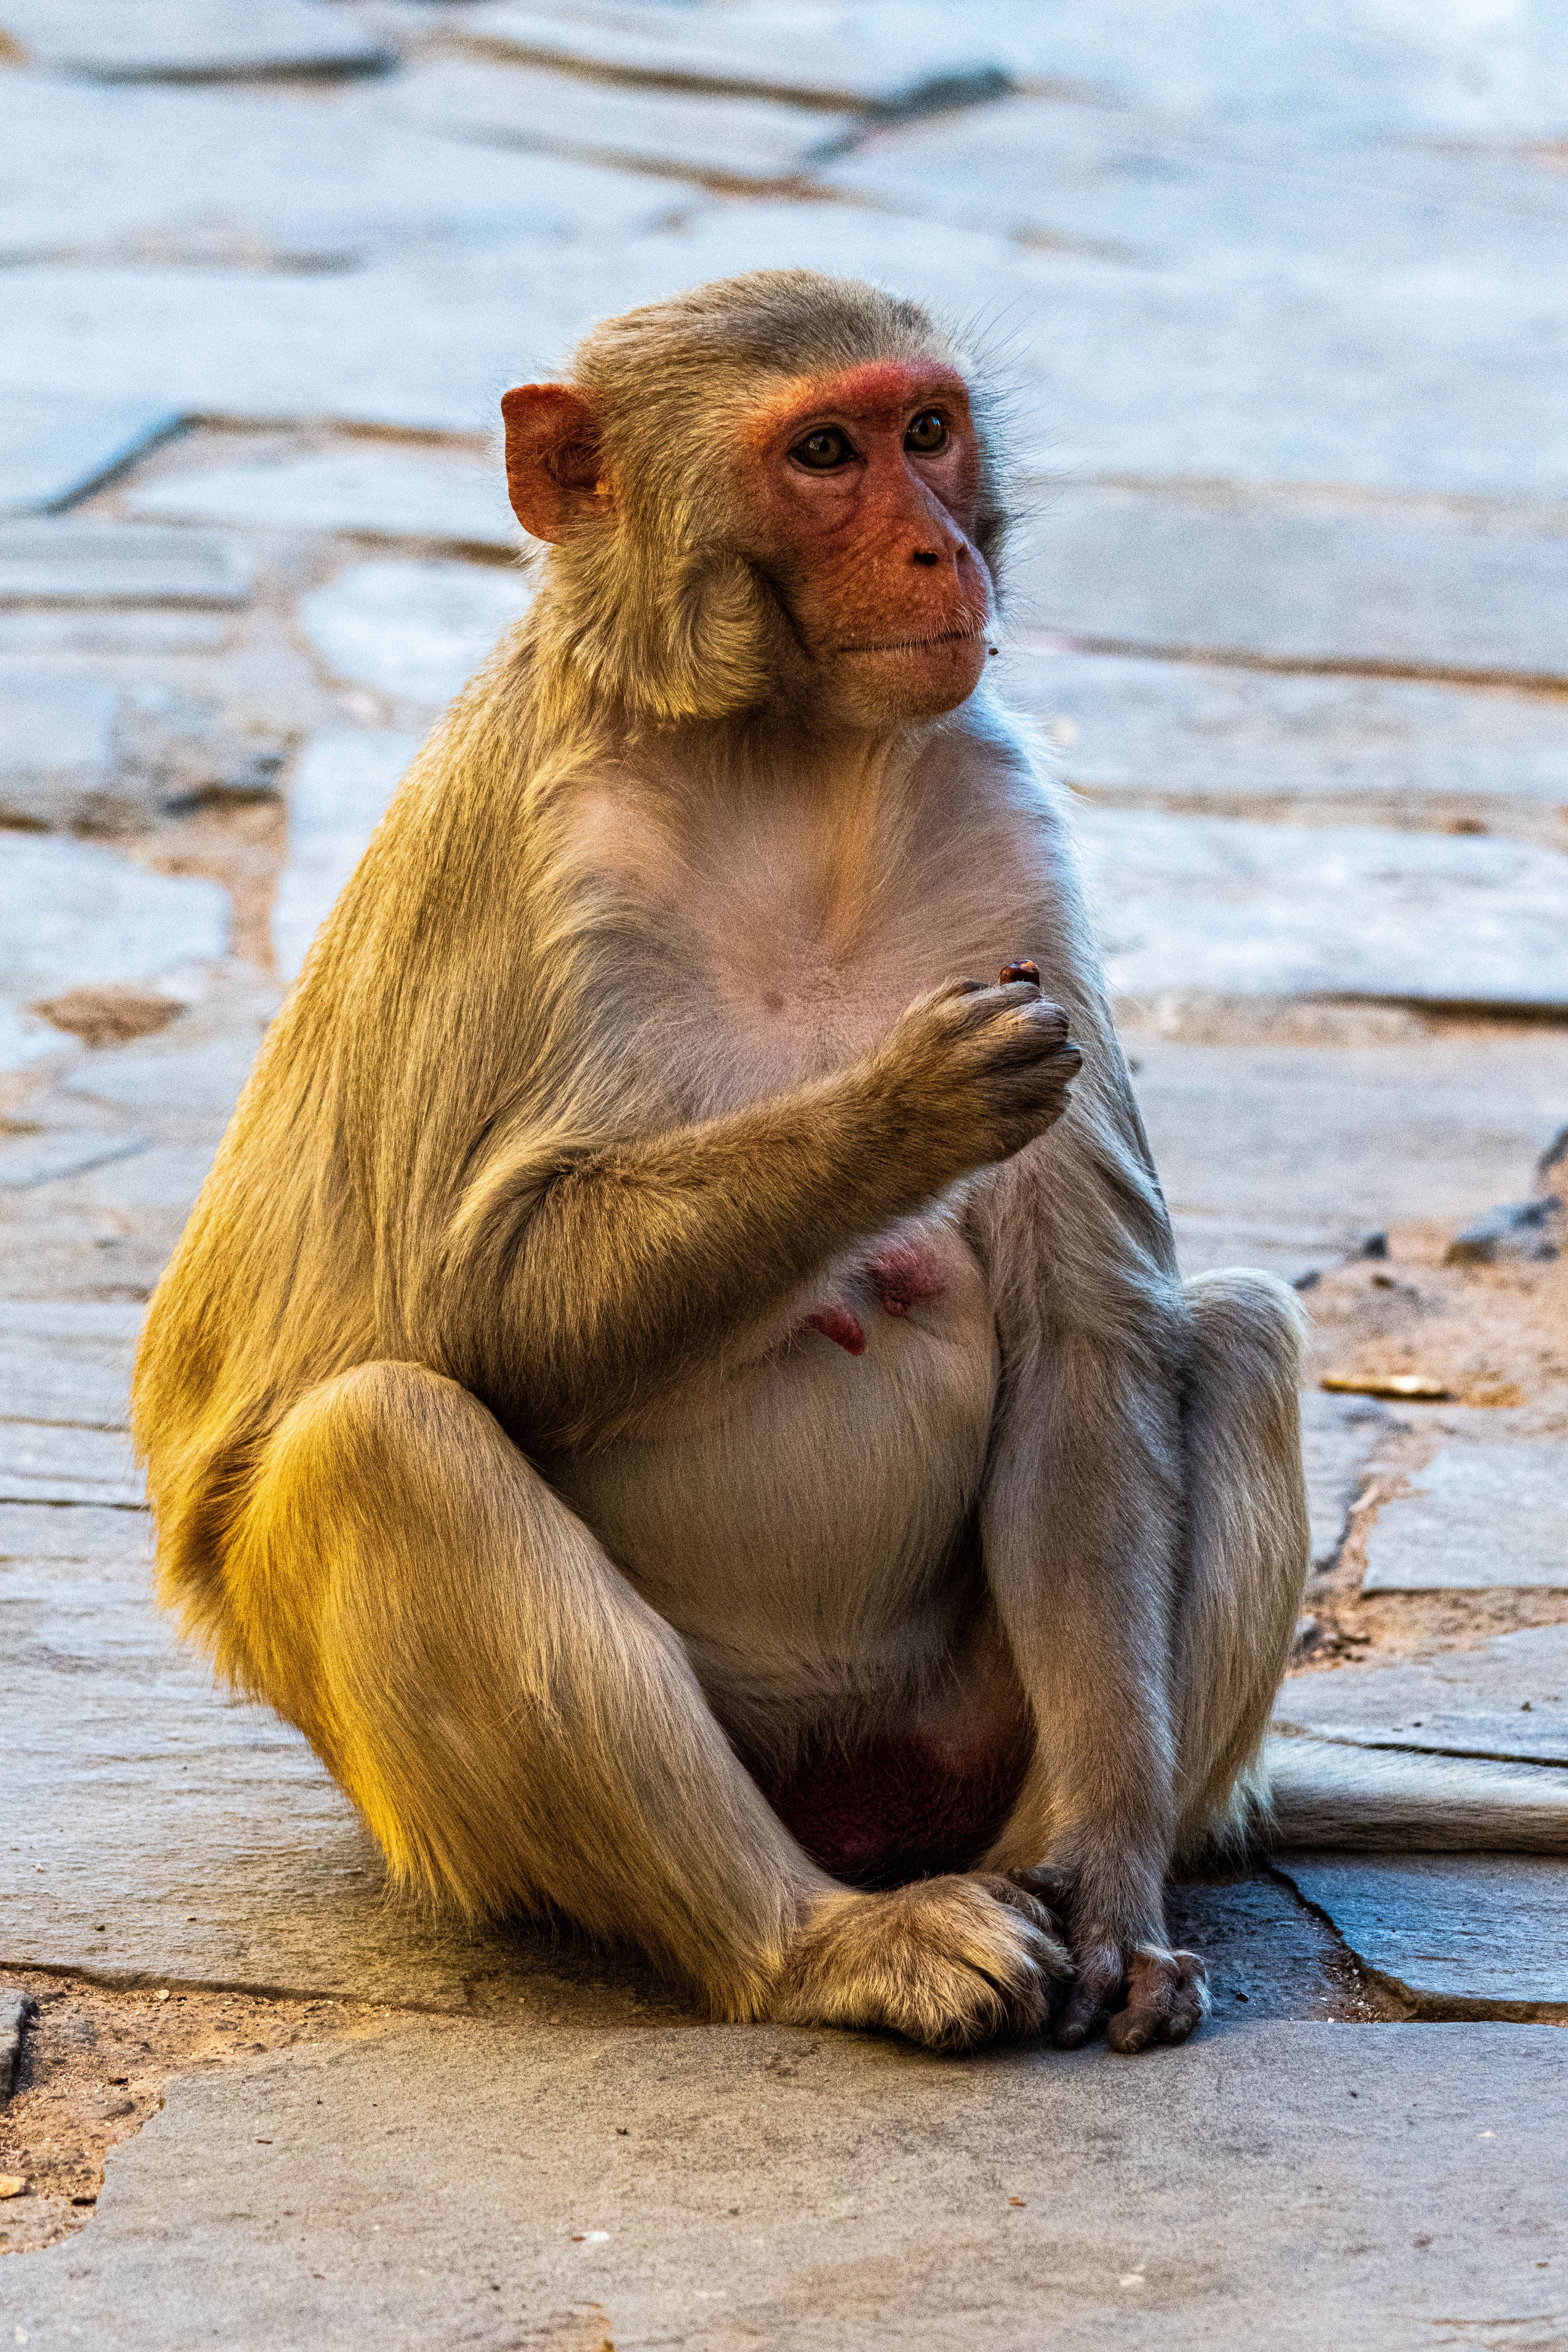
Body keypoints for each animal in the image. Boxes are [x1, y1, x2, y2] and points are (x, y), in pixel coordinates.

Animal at [132, 268, 1313, 2058]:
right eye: (823, 454)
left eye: (925, 430)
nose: (937, 553)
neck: (785, 752)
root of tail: (859, 1819)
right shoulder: (524, 856)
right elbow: (465, 1310)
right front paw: (889, 1117)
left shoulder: (1003, 816)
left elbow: (1087, 1343)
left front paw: (1112, 1895)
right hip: (478, 1831)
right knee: (382, 1440)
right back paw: (815, 1947)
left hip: (956, 1738)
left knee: (1229, 1335)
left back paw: (1046, 1870)